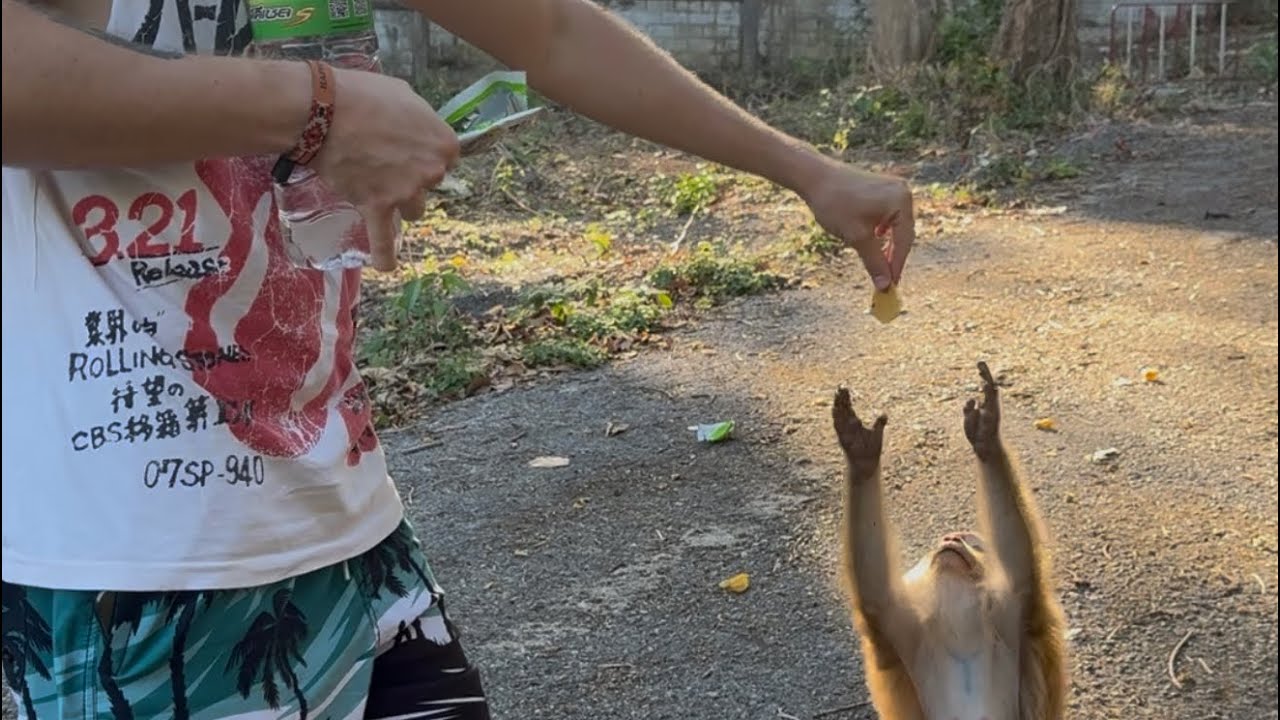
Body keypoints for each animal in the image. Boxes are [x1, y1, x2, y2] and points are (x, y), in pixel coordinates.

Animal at [831, 362, 1067, 720]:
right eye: (941, 542)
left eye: (971, 541)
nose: (950, 538)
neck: (962, 630)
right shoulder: (903, 629)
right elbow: (875, 594)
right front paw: (860, 458)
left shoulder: (1014, 611)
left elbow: (1020, 569)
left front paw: (987, 438)